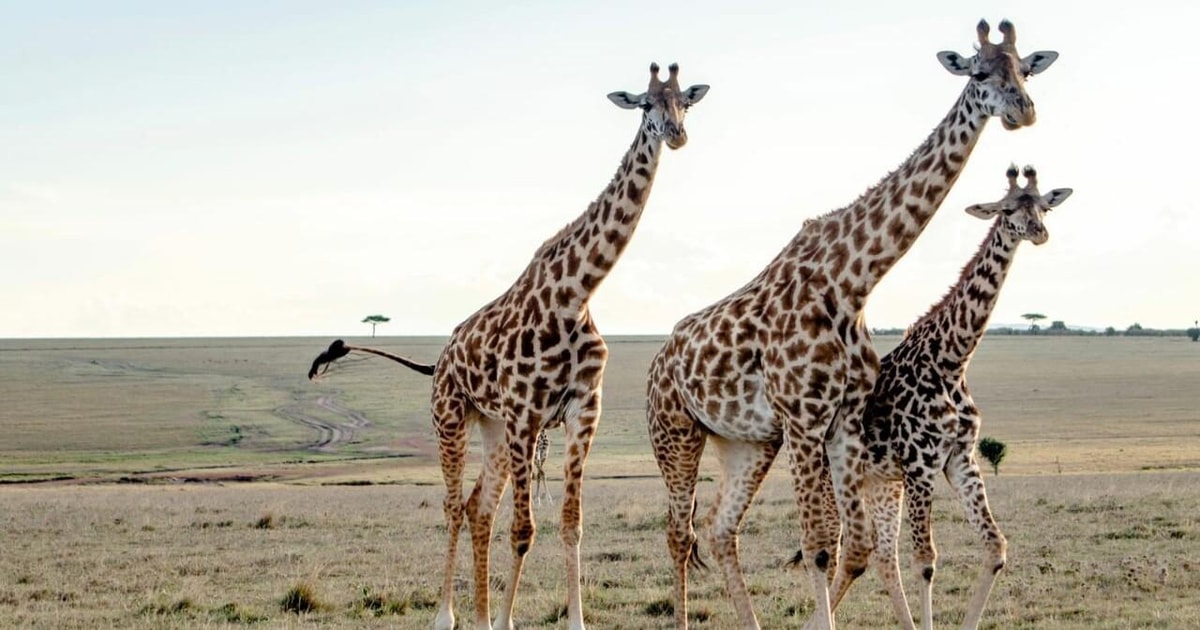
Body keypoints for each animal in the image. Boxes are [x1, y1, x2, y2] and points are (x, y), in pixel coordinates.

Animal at [310, 63, 708, 630]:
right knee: (454, 505)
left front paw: (566, 620)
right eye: (645, 104)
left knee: (479, 506)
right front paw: (504, 619)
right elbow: (523, 530)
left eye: (685, 102)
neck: (576, 294)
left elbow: (571, 523)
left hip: (493, 429)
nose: (676, 134)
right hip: (452, 418)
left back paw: (477, 616)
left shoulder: (582, 411)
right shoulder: (526, 414)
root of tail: (440, 359)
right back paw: (448, 615)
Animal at [818, 165, 1072, 630]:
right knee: (832, 553)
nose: (1038, 232)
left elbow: (995, 547)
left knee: (879, 556)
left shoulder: (961, 458)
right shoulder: (922, 465)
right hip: (836, 479)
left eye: (1044, 206)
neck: (952, 360)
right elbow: (925, 561)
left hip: (881, 483)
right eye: (1007, 208)